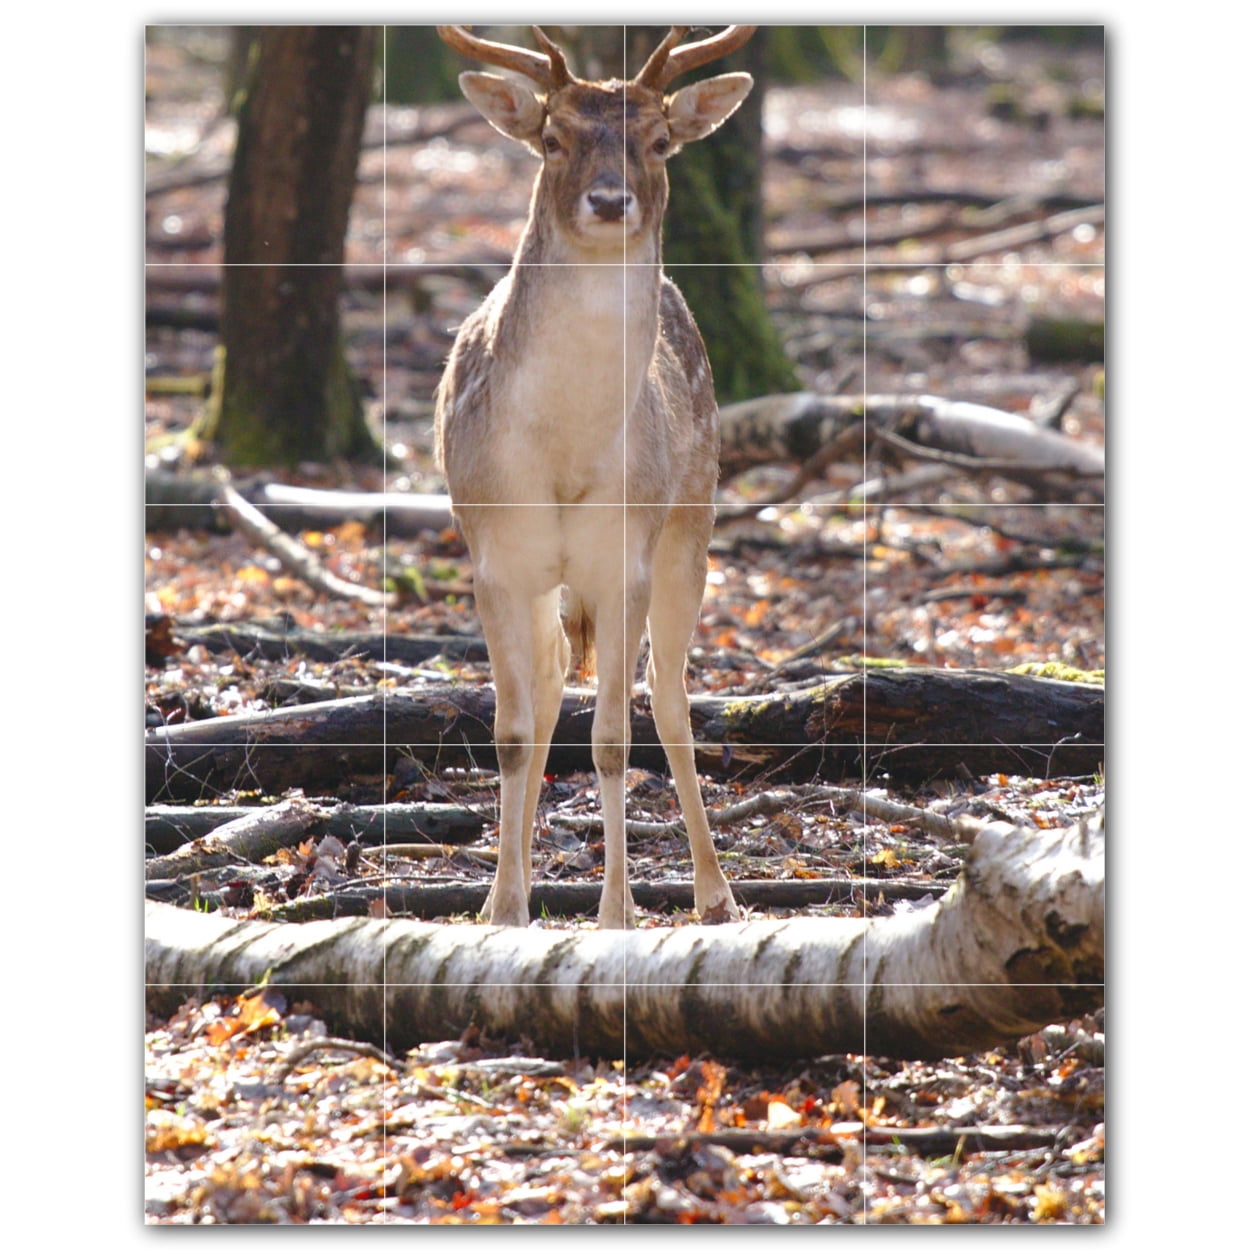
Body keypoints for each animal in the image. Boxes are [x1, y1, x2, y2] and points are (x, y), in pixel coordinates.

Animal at [433, 25, 755, 928]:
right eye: (552, 138)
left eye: (660, 140)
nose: (610, 202)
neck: (566, 456)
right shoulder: (494, 556)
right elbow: (511, 732)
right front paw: (504, 910)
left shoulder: (626, 558)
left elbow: (613, 737)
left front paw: (616, 915)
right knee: (546, 690)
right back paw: (506, 892)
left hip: (690, 526)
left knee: (671, 698)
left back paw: (714, 892)